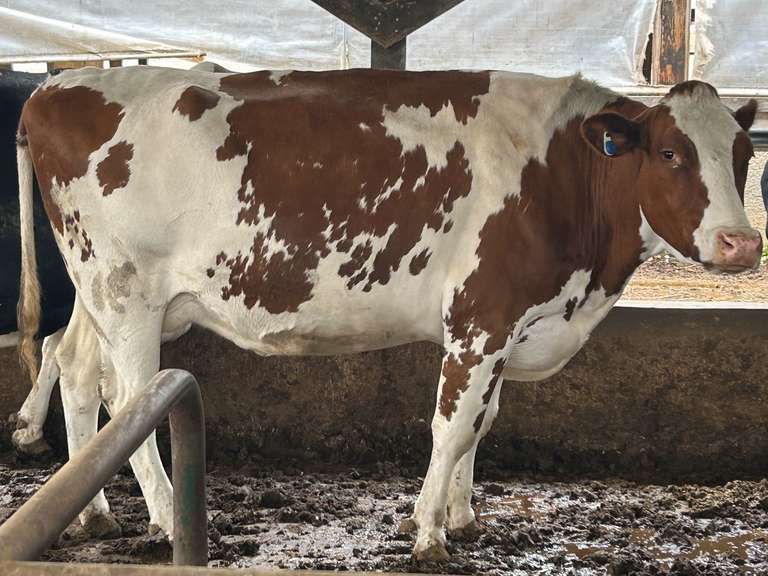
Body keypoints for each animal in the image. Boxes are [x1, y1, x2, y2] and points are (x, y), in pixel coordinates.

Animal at [16, 66, 760, 560]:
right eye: (671, 152)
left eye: (744, 154)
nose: (742, 242)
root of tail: (61, 85)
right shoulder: (482, 316)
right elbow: (453, 425)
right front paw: (428, 531)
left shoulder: (507, 325)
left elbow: (482, 420)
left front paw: (462, 515)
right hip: (126, 292)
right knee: (129, 398)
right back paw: (171, 520)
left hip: (102, 291)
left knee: (76, 369)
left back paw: (93, 514)